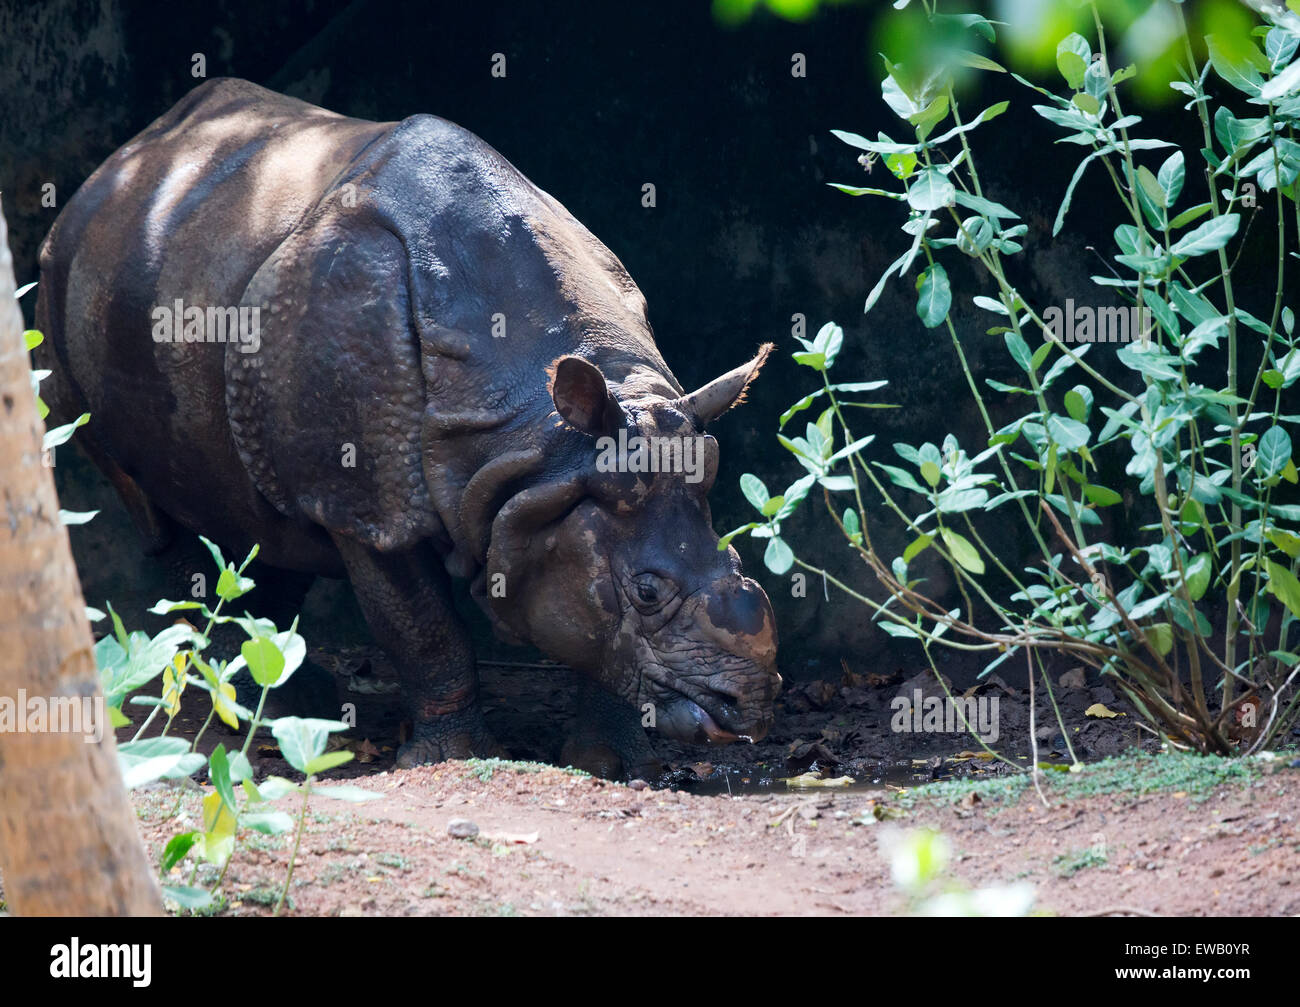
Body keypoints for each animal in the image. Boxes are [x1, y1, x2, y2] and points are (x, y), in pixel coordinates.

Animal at [35, 78, 780, 776]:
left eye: (739, 559)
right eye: (649, 591)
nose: (749, 704)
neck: (536, 443)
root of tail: (119, 162)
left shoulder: (571, 484)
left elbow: (597, 630)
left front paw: (615, 765)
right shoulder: (371, 507)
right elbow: (423, 624)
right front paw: (450, 757)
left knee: (267, 513)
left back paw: (290, 697)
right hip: (58, 290)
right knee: (160, 507)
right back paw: (249, 705)